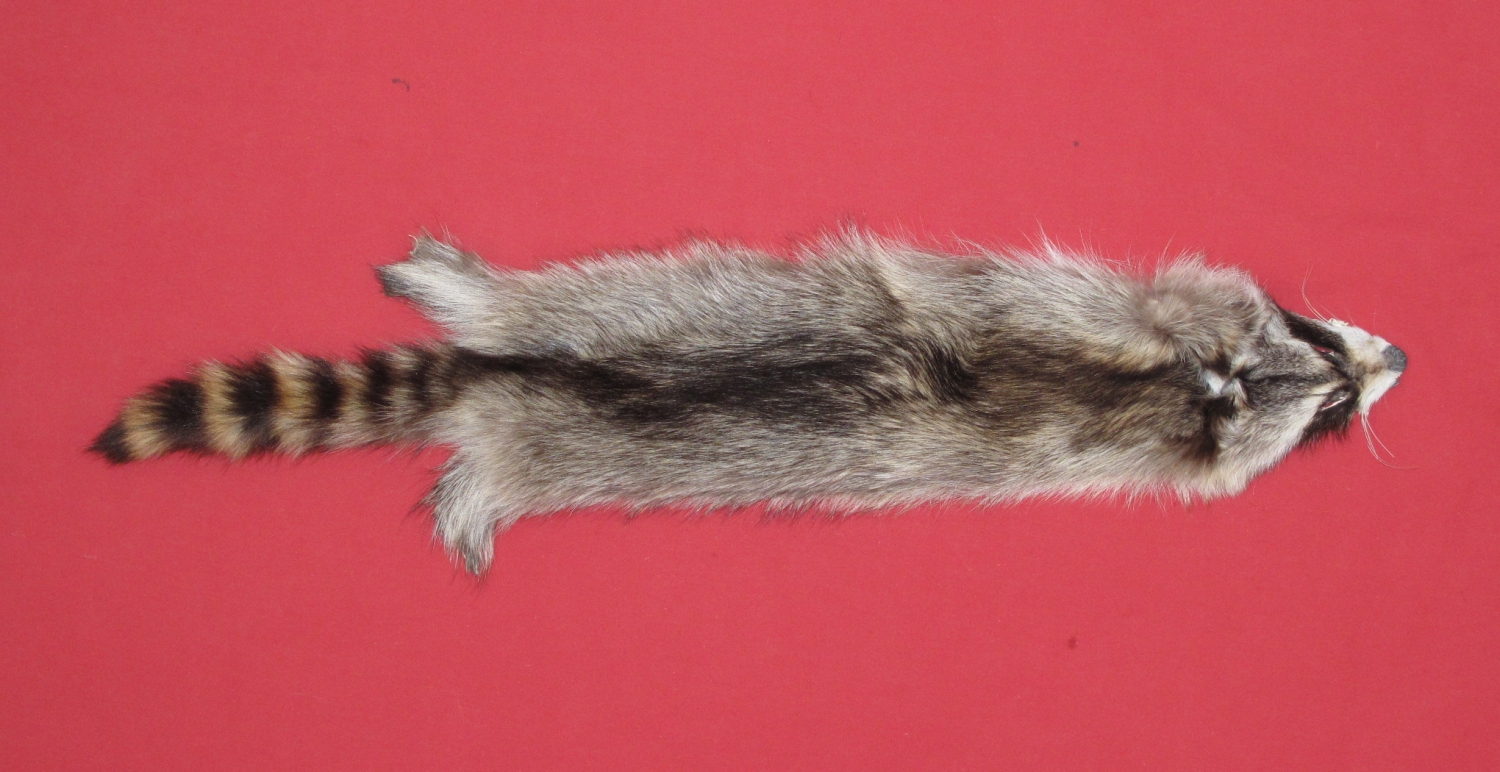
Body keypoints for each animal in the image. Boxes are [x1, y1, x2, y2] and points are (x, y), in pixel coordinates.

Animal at [91, 231, 1407, 573]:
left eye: (1317, 346)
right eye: (1329, 395)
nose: (1396, 353)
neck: (1197, 378)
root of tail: (507, 378)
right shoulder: (1081, 307)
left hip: (629, 316)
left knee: (539, 308)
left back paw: (475, 301)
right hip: (637, 339)